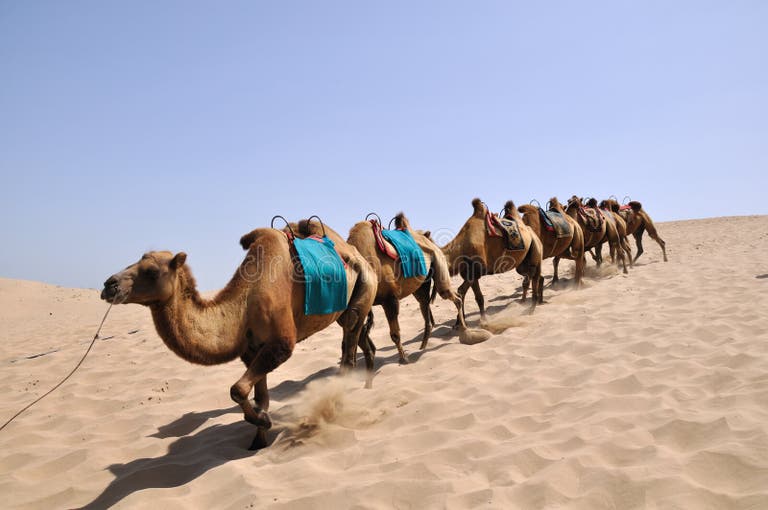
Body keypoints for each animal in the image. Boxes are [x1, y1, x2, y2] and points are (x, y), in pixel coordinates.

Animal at [101, 218, 377, 450]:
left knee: (350, 346)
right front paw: (258, 440)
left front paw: (264, 422)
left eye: (151, 271)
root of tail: (355, 254)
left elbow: (237, 389)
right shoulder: (251, 350)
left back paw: (337, 405)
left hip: (365, 286)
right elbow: (259, 397)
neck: (244, 305)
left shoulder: (280, 344)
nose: (109, 284)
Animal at [348, 213, 490, 363]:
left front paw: (403, 359)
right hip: (421, 284)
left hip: (439, 264)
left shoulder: (390, 299)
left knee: (455, 297)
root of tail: (430, 241)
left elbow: (395, 334)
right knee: (425, 307)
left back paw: (465, 333)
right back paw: (423, 346)